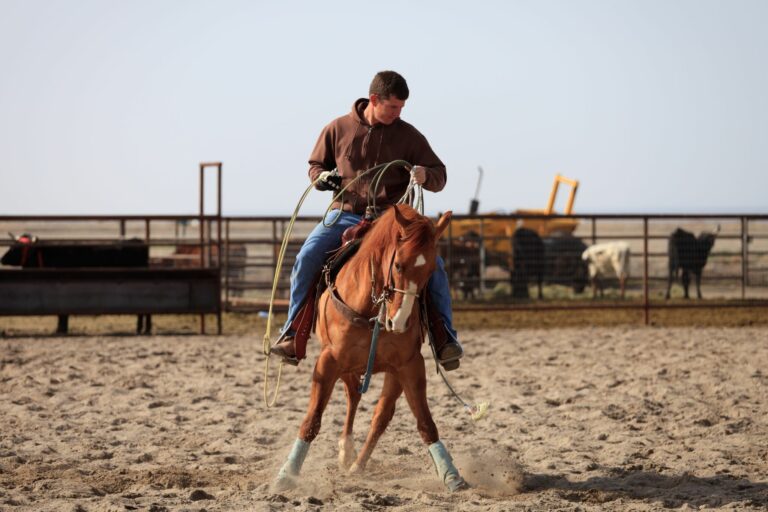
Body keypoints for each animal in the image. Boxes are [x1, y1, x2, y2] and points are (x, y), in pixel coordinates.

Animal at [274, 204, 468, 492]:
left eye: (431, 270)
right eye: (398, 264)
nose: (400, 322)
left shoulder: (410, 365)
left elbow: (425, 422)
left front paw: (451, 474)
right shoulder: (329, 361)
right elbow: (312, 419)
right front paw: (287, 474)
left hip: (390, 373)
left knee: (380, 415)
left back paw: (356, 464)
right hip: (346, 364)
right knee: (353, 395)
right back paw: (346, 451)